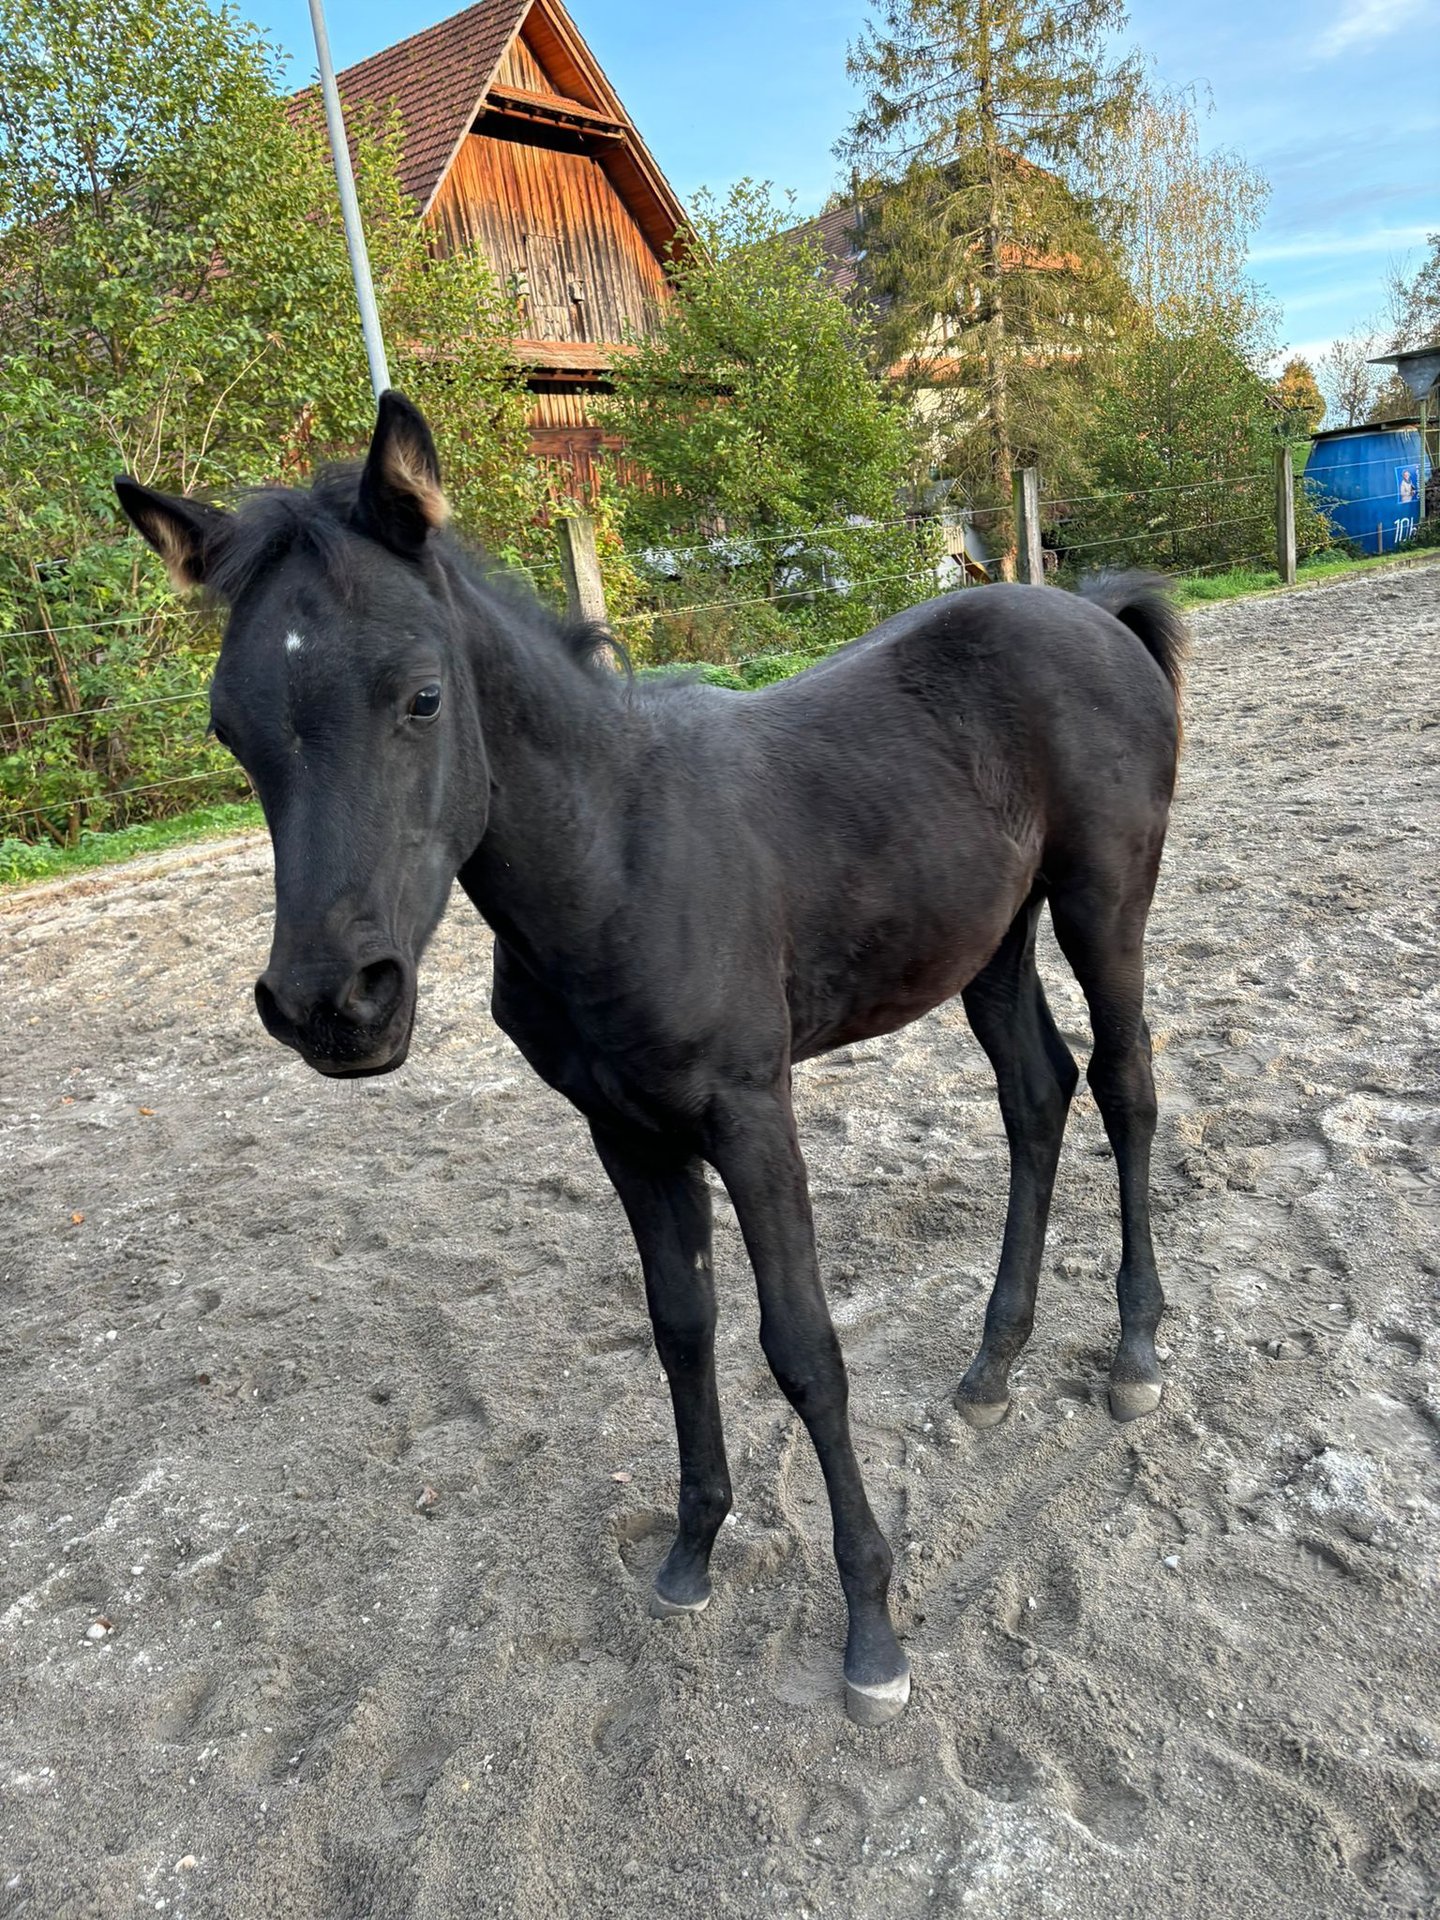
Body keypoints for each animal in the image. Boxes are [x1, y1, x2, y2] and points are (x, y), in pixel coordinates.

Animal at [115, 392, 1186, 1728]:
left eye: (422, 697)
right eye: (230, 727)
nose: (330, 1005)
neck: (614, 859)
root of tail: (1092, 611)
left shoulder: (751, 1114)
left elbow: (804, 1351)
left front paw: (872, 1632)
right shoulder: (623, 1131)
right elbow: (680, 1324)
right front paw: (690, 1553)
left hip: (1102, 906)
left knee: (1127, 1086)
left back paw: (1136, 1356)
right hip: (986, 942)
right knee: (1036, 1096)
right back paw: (993, 1367)